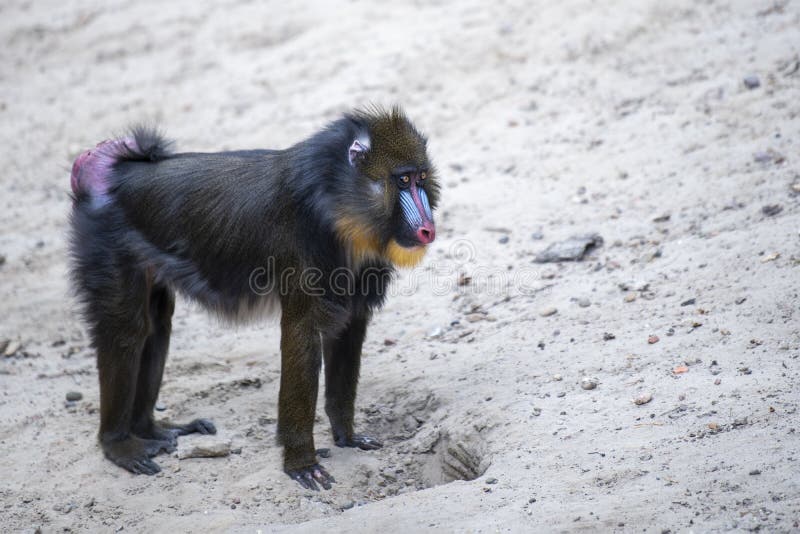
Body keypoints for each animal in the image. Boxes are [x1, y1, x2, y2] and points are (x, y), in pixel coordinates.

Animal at [68, 107, 439, 490]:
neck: (338, 207)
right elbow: (300, 338)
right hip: (107, 249)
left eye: (421, 178)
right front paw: (301, 462)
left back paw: (152, 429)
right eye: (402, 181)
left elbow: (346, 336)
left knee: (157, 328)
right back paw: (118, 444)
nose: (427, 228)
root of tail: (116, 171)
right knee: (126, 330)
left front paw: (347, 436)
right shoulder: (301, 263)